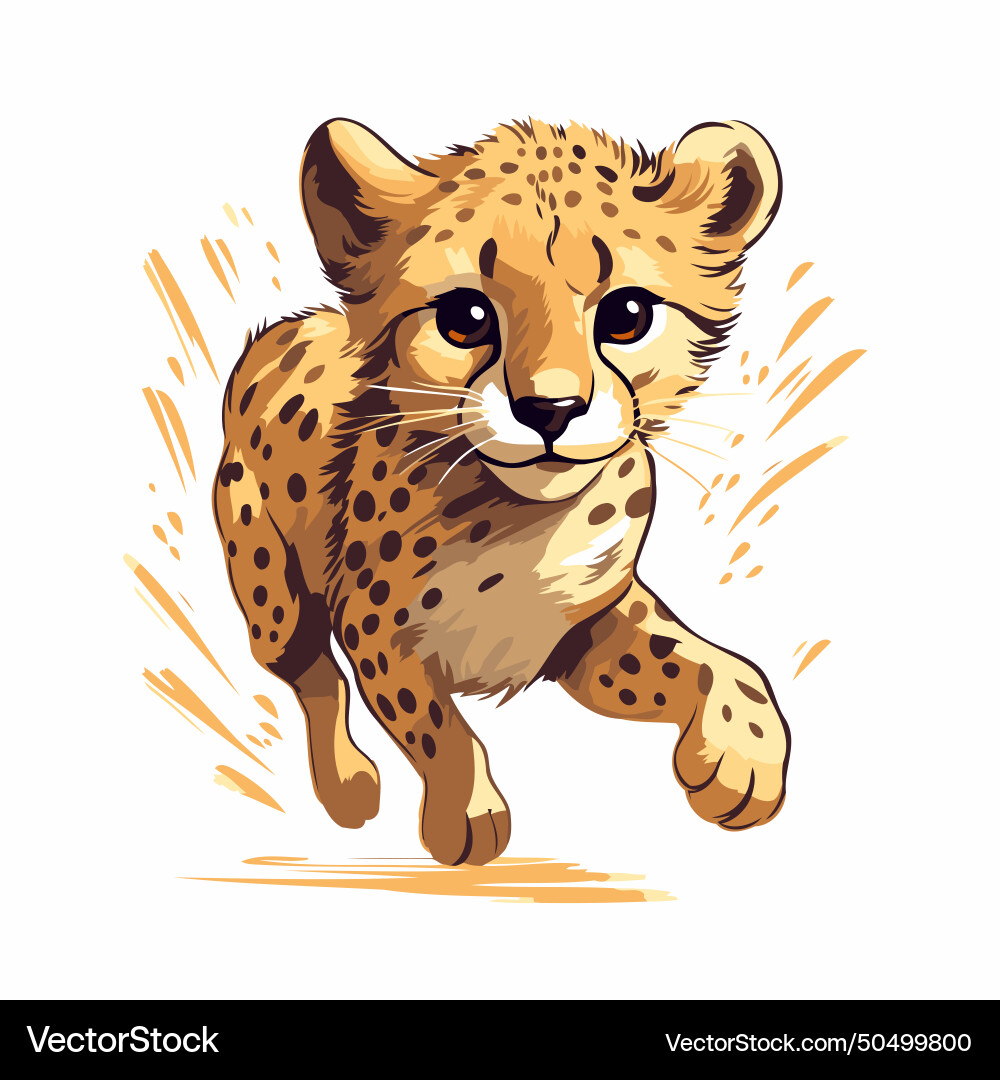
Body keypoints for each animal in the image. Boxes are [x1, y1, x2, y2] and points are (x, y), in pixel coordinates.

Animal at [213, 115, 790, 866]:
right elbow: (435, 724)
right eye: (466, 317)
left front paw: (744, 757)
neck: (521, 521)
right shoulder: (377, 631)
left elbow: (717, 663)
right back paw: (347, 787)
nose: (551, 409)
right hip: (271, 592)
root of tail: (288, 328)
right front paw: (465, 815)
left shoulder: (583, 634)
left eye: (628, 313)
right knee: (311, 674)